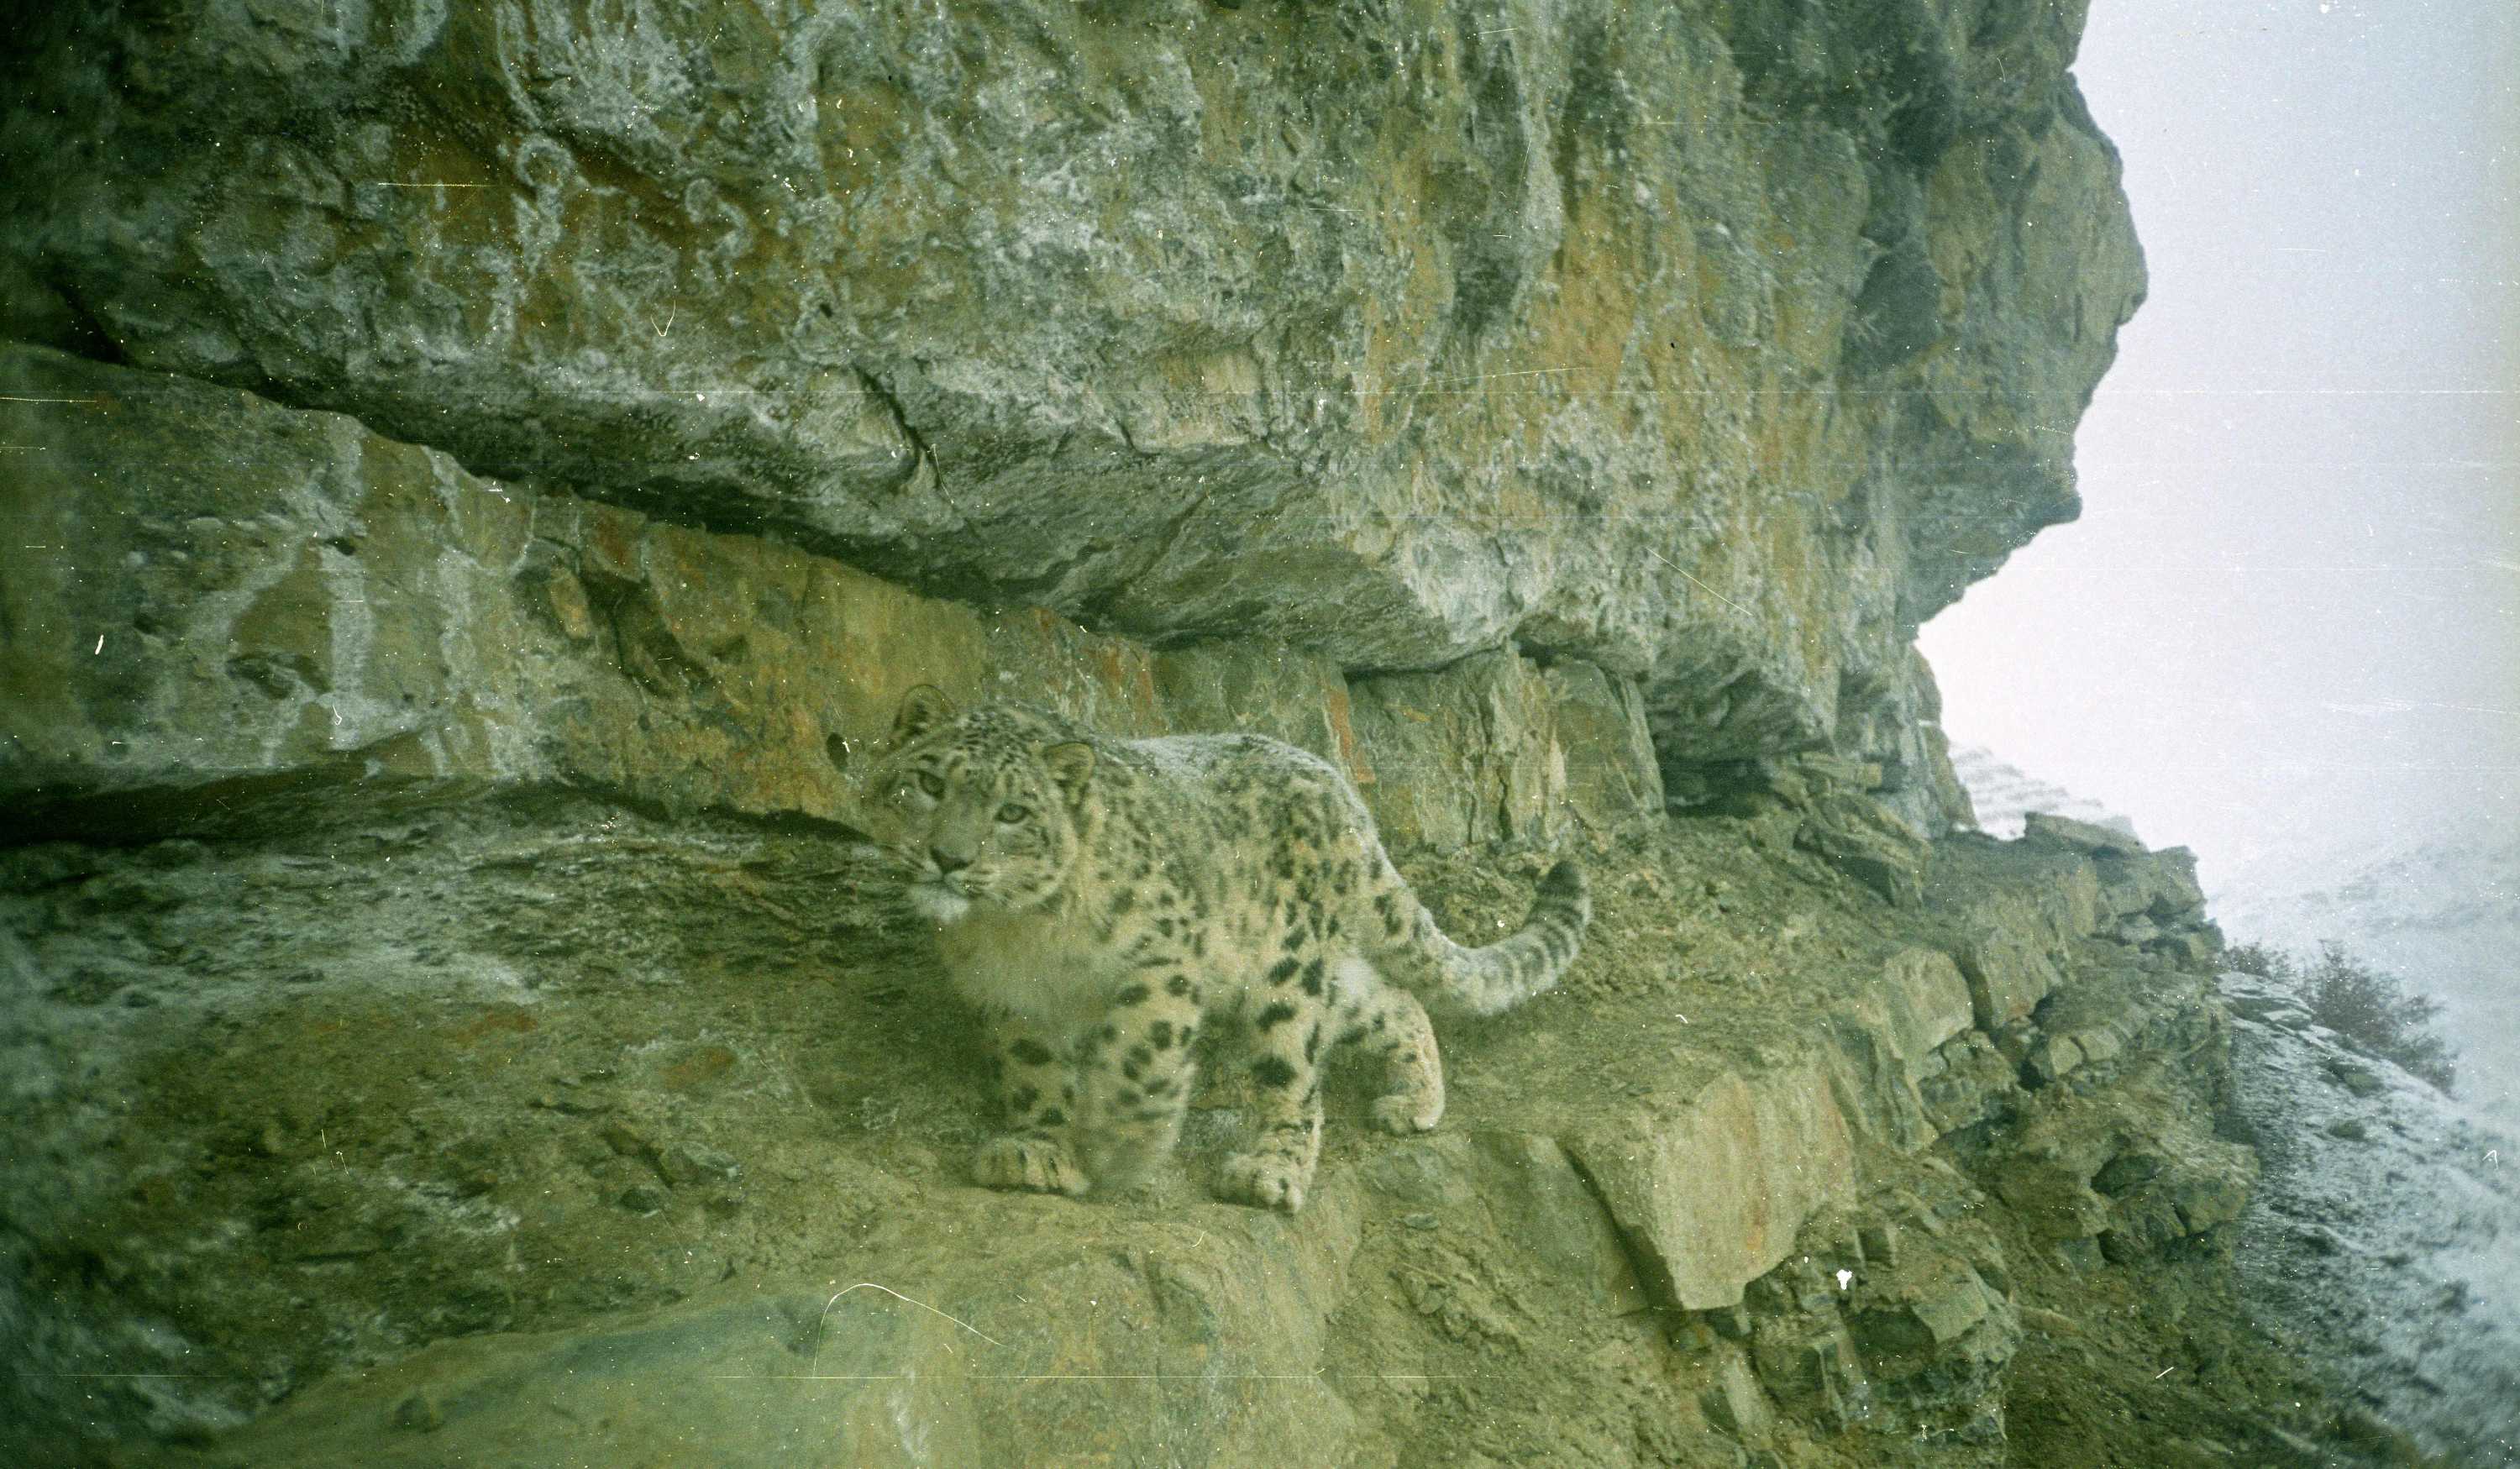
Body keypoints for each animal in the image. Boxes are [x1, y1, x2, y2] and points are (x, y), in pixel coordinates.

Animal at [852, 685, 1590, 1213]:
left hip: (1286, 970)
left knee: (1297, 1078)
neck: (1018, 932)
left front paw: (1121, 1148)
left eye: (1013, 812)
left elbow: (1143, 1056)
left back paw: (1268, 1172)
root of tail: (1345, 796)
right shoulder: (1009, 995)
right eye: (931, 784)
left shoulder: (1163, 958)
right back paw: (1413, 1099)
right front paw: (1038, 1151)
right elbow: (1032, 1072)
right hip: (1326, 974)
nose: (949, 857)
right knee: (1395, 999)